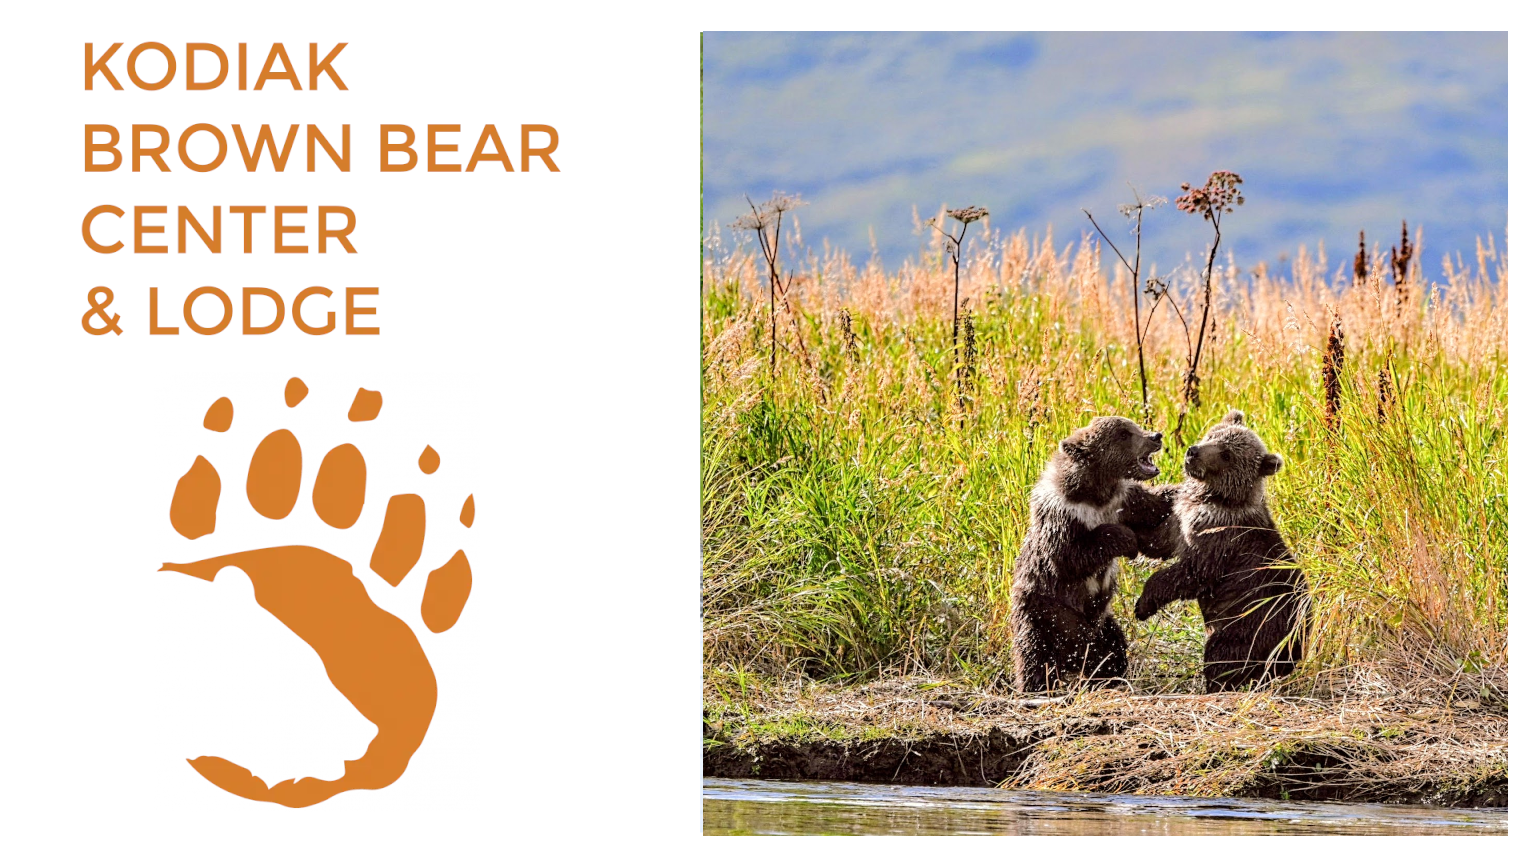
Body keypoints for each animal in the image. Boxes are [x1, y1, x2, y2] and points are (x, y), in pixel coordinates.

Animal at [1009, 416, 1172, 693]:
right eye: (1124, 434)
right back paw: (1036, 687)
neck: (1096, 493)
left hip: (1101, 625)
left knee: (1113, 647)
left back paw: (1107, 676)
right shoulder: (1062, 515)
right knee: (1034, 654)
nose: (1155, 436)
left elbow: (1156, 504)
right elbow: (1068, 556)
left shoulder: (1125, 499)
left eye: (1133, 425)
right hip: (1043, 614)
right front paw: (1127, 540)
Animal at [1132, 410, 1309, 692]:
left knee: (1223, 657)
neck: (1215, 498)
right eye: (1213, 434)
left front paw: (1143, 605)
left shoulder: (1219, 539)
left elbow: (1190, 573)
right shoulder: (1183, 519)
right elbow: (1159, 540)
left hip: (1249, 624)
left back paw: (1217, 685)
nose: (1193, 451)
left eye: (1227, 454)